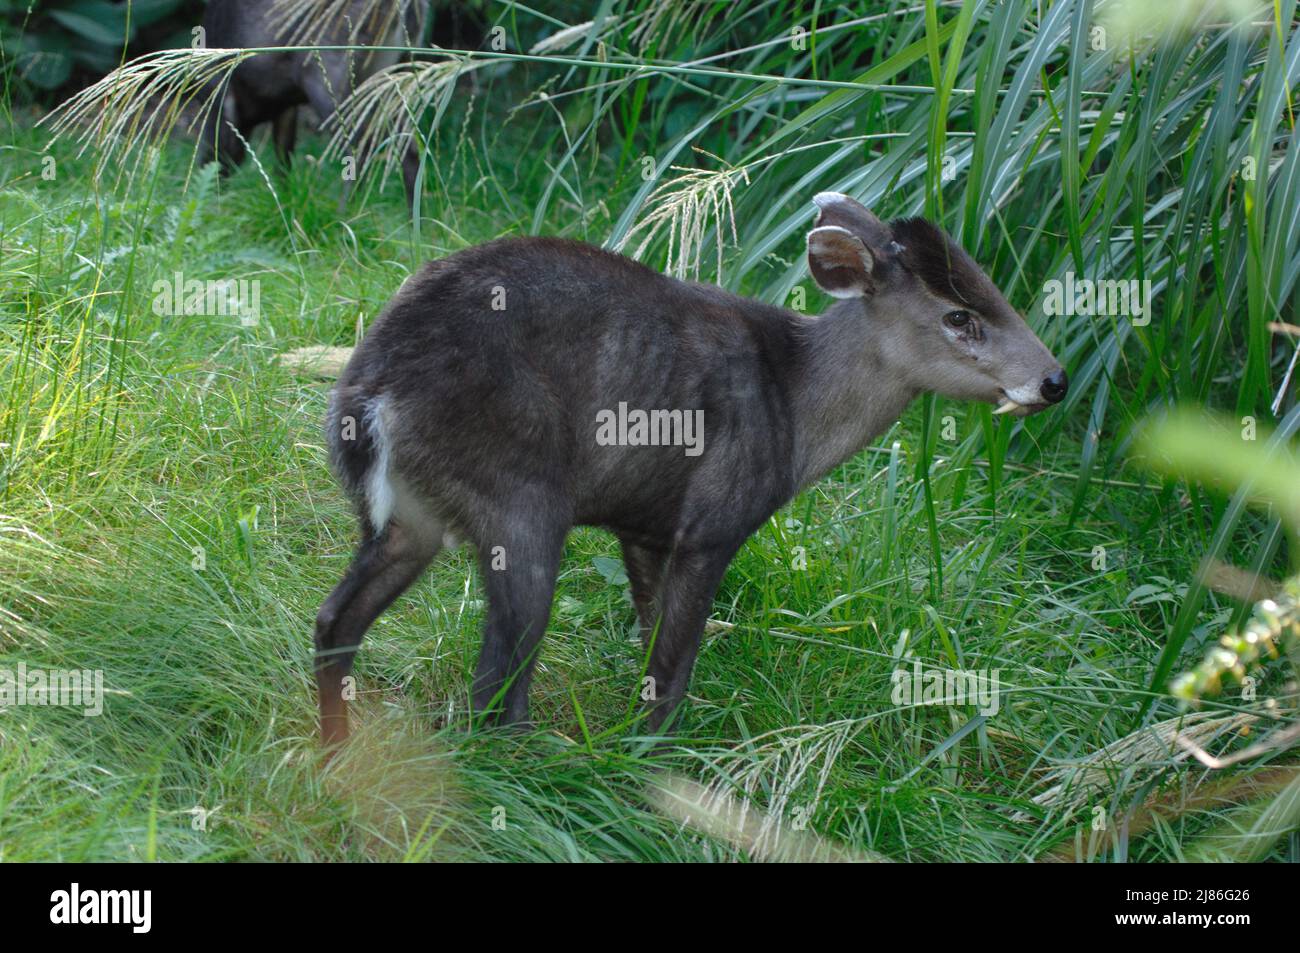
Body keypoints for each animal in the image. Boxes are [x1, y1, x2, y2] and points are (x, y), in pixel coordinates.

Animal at [313, 191, 1068, 747]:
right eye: (960, 315)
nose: (1055, 380)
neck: (796, 406)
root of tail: (372, 393)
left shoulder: (643, 527)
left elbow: (651, 644)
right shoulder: (713, 524)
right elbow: (674, 664)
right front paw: (654, 757)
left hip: (410, 517)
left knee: (334, 622)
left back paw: (337, 756)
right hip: (518, 499)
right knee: (498, 677)